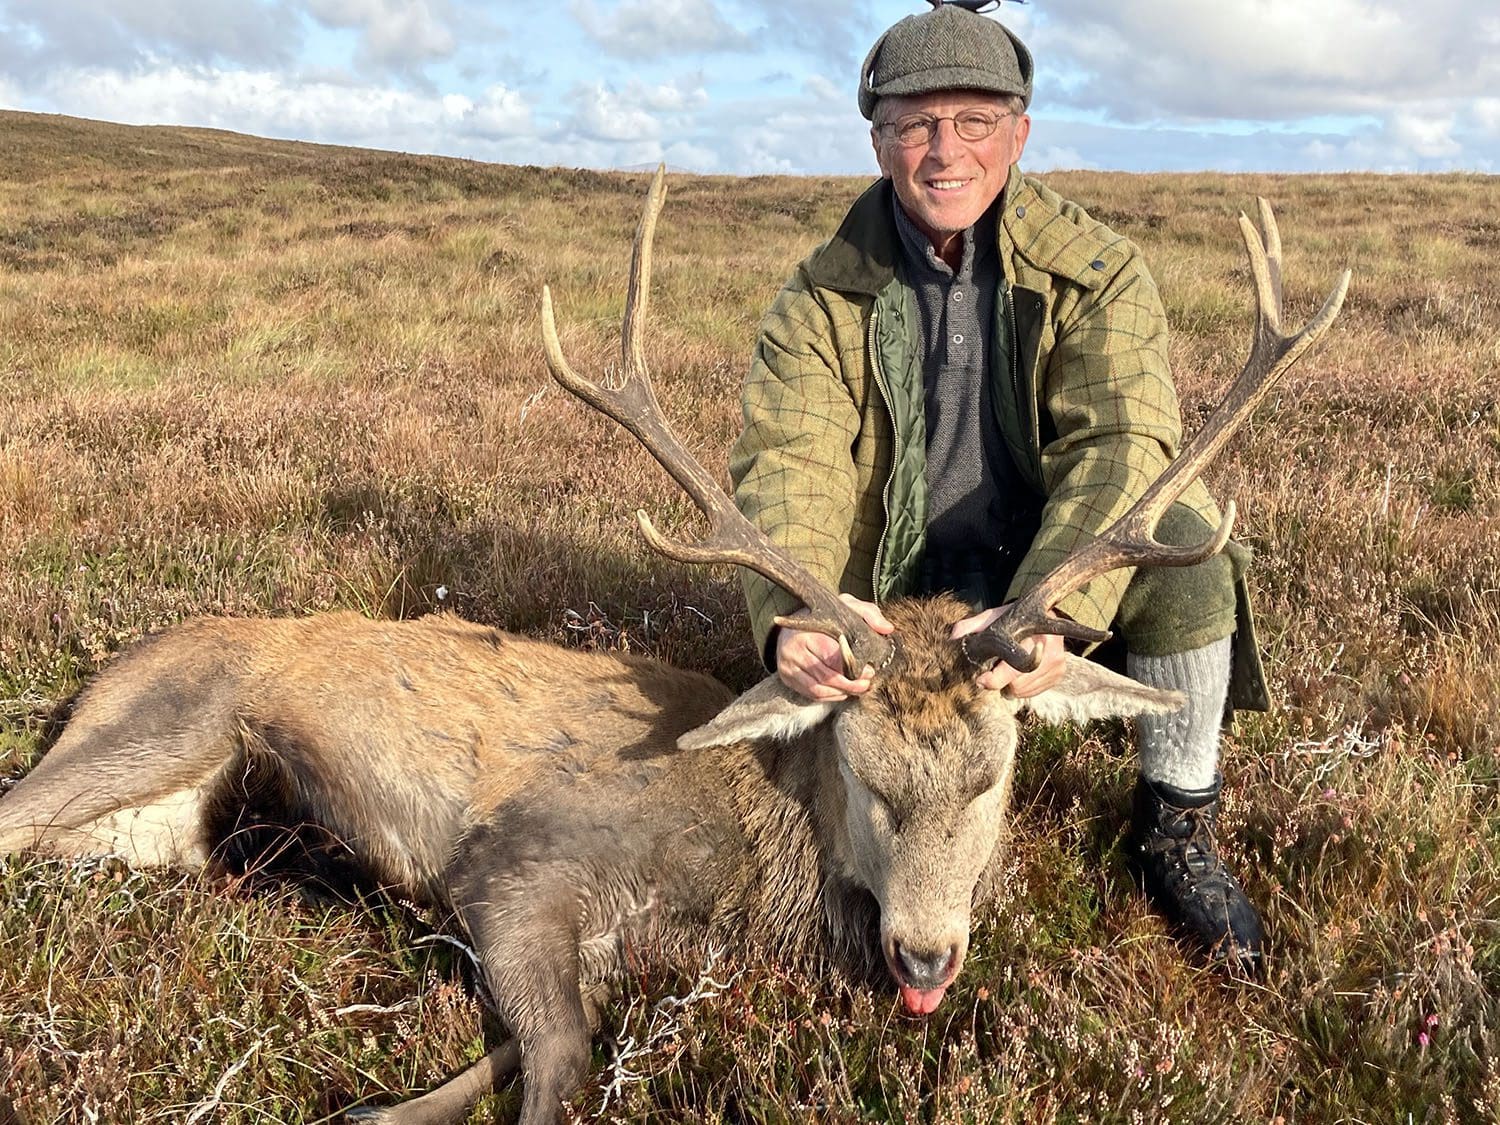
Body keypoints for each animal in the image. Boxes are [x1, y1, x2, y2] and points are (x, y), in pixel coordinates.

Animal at [0, 169, 1348, 1125]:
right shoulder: (518, 862)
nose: (924, 955)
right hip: (159, 722)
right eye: (861, 770)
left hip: (159, 838)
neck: (755, 879)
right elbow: (557, 1066)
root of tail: (101, 670)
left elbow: (514, 1051)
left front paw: (374, 1107)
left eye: (995, 778)